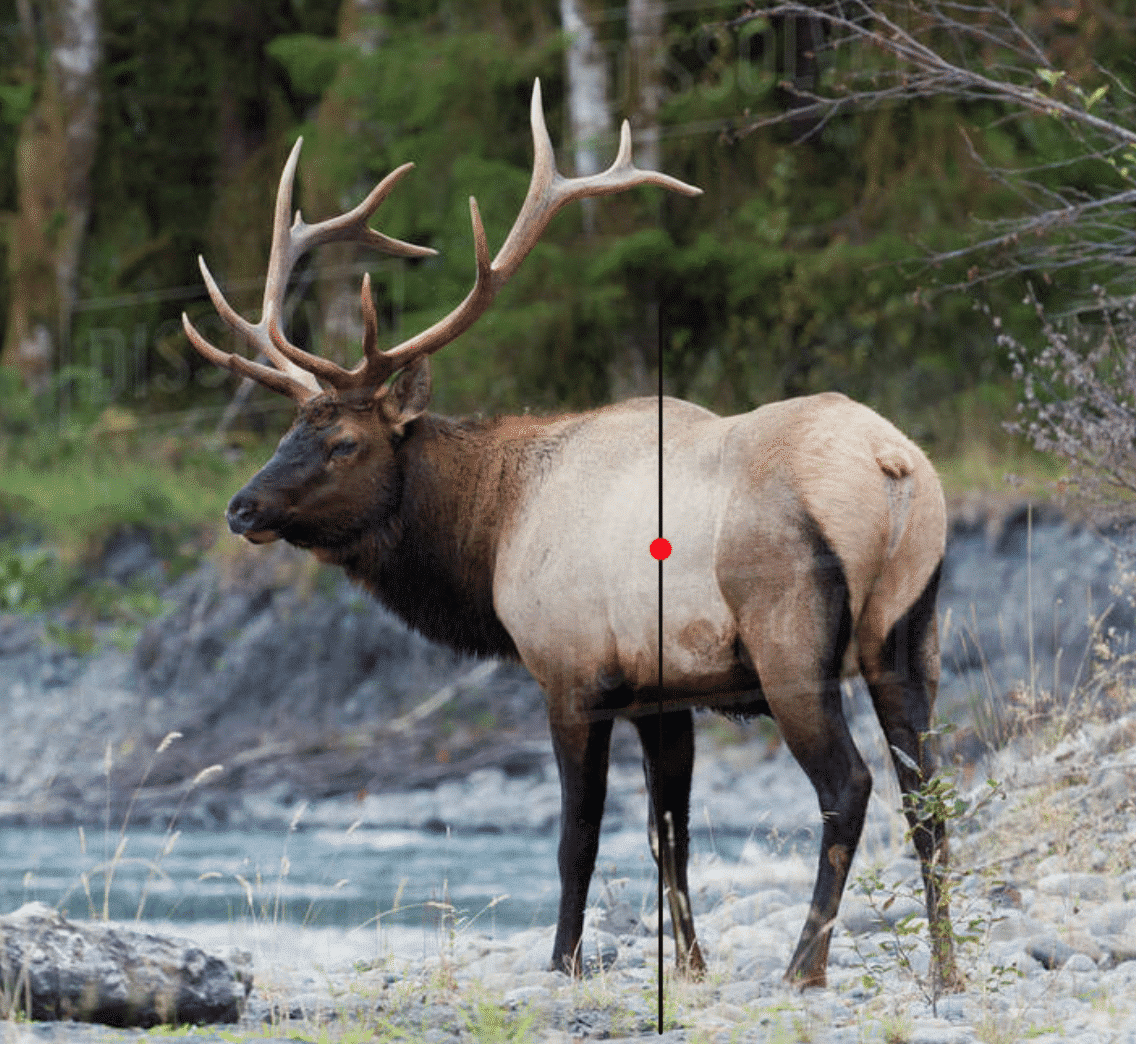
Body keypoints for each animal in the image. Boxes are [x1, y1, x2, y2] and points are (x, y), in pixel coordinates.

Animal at [183, 79, 958, 991]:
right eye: (286, 431)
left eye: (342, 442)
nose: (241, 509)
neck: (491, 533)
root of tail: (892, 467)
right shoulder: (664, 690)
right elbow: (668, 836)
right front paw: (689, 967)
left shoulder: (571, 672)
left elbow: (577, 838)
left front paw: (562, 961)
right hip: (908, 632)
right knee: (926, 794)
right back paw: (947, 967)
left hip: (790, 636)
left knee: (849, 785)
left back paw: (804, 965)